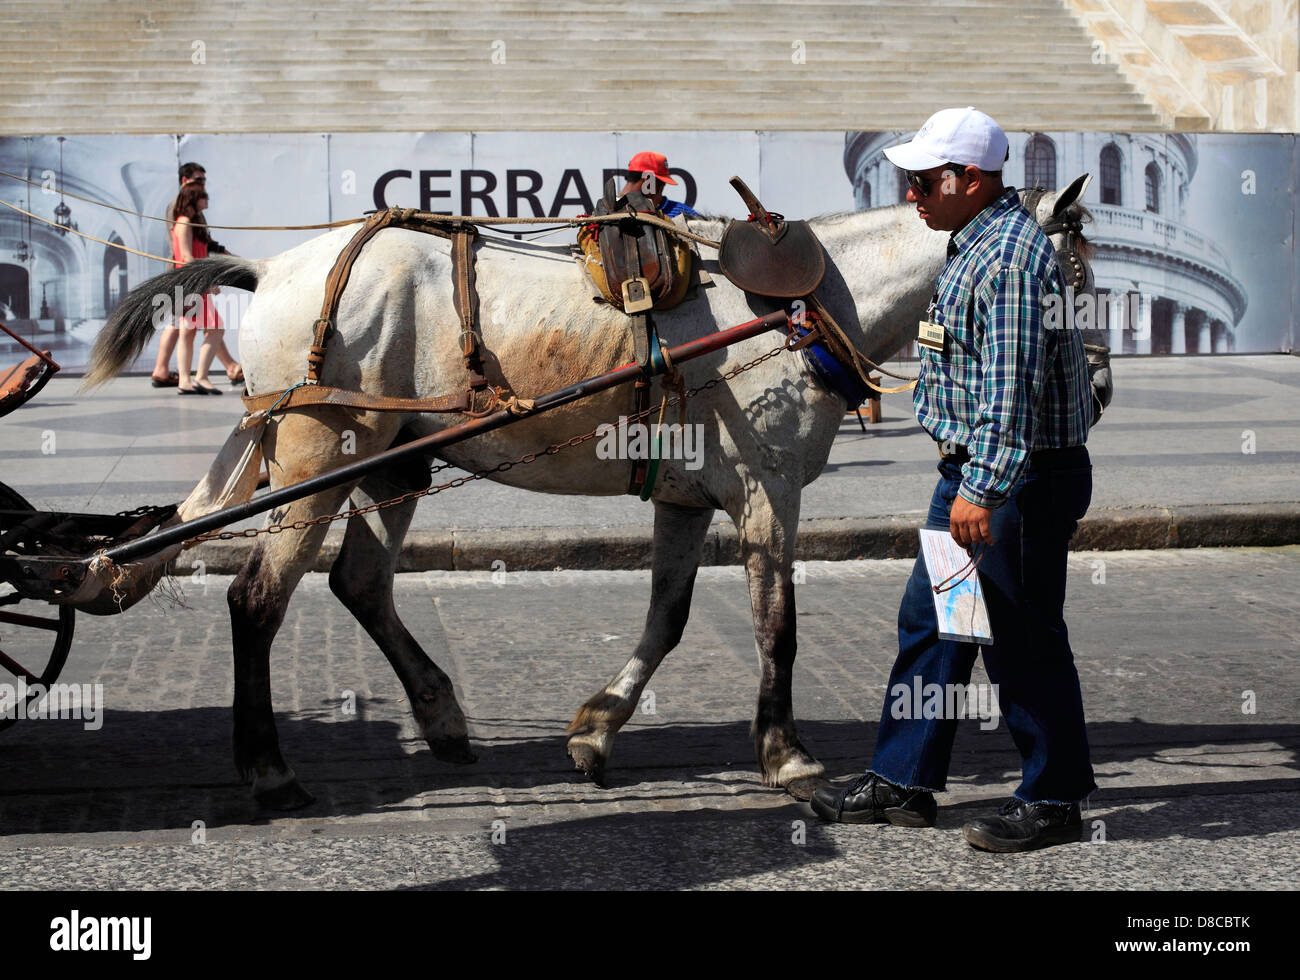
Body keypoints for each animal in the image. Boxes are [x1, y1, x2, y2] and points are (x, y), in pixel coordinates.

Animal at [83, 176, 1095, 809]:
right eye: (1068, 277)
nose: (1097, 387)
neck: (805, 305)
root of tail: (276, 270)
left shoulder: (687, 496)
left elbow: (669, 617)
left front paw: (598, 728)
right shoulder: (768, 490)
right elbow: (775, 623)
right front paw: (787, 753)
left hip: (390, 461)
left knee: (360, 583)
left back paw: (440, 715)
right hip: (317, 455)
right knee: (259, 599)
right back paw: (268, 771)